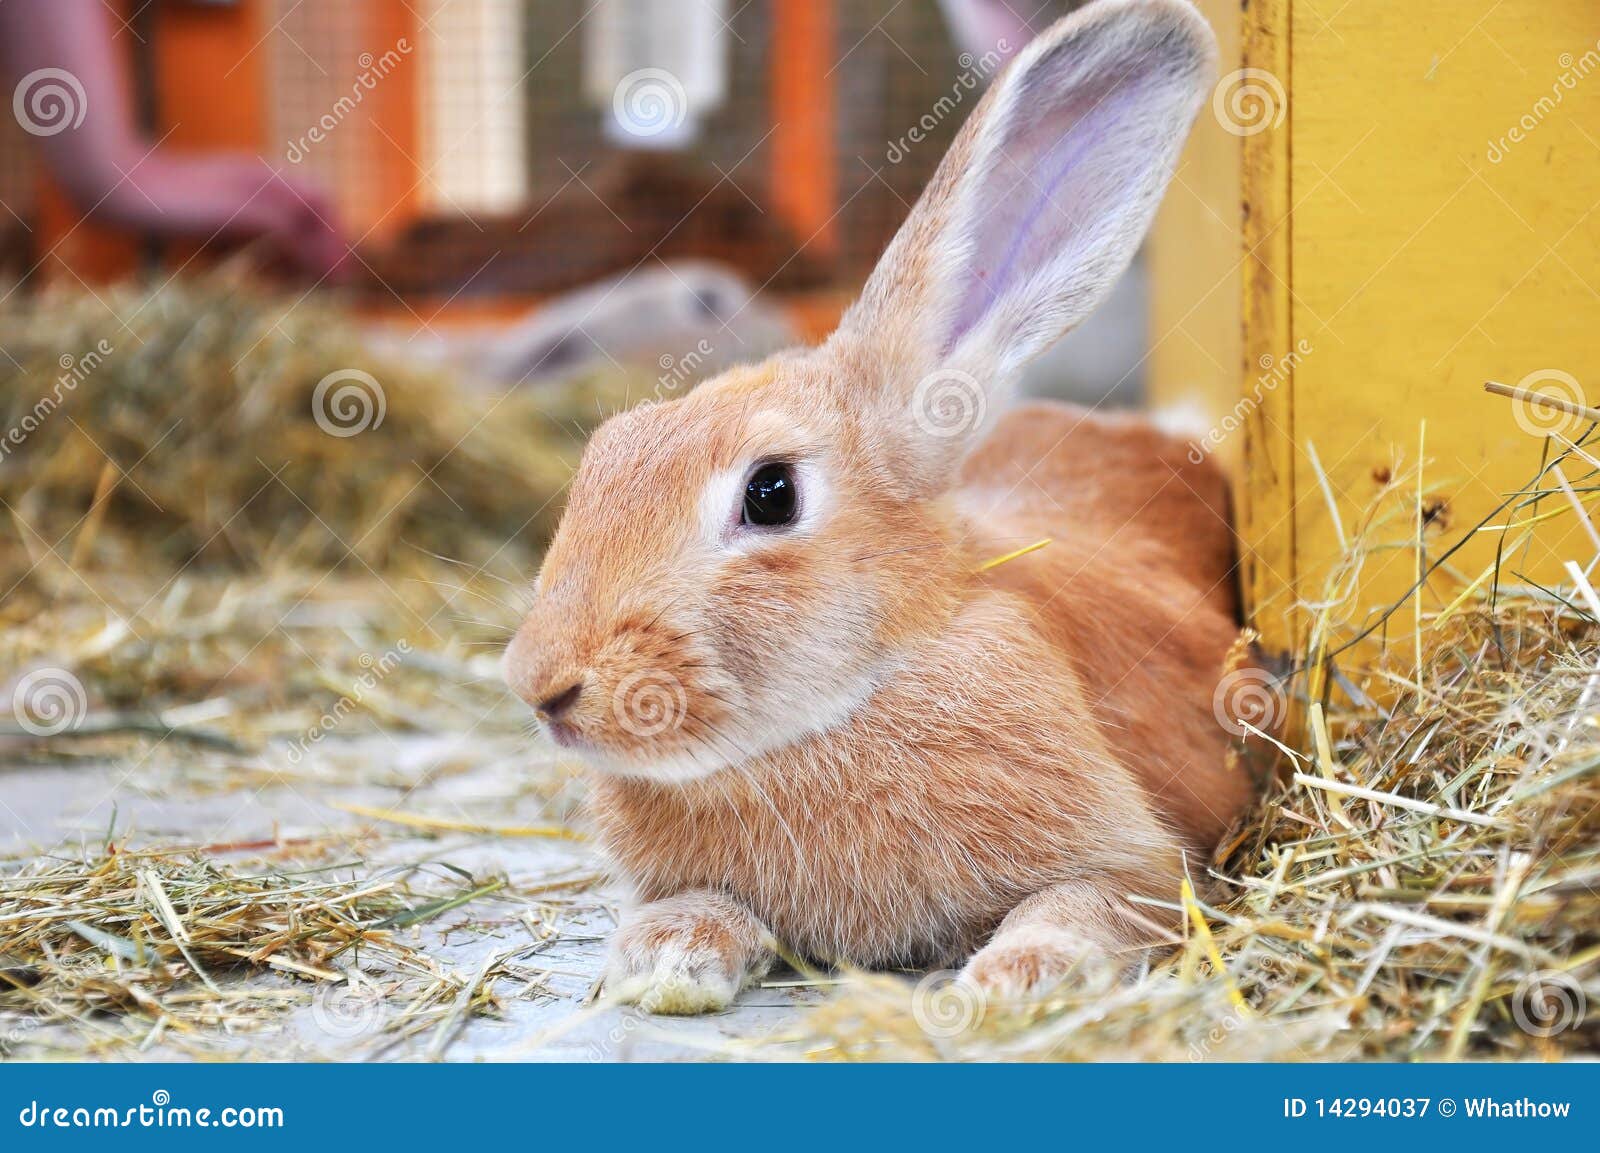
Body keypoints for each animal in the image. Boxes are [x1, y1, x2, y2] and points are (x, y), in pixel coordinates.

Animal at [503, 0, 1255, 1014]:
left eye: (771, 493)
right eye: (604, 452)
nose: (541, 683)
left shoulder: (1145, 863)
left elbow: (1084, 904)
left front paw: (1009, 981)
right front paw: (666, 960)